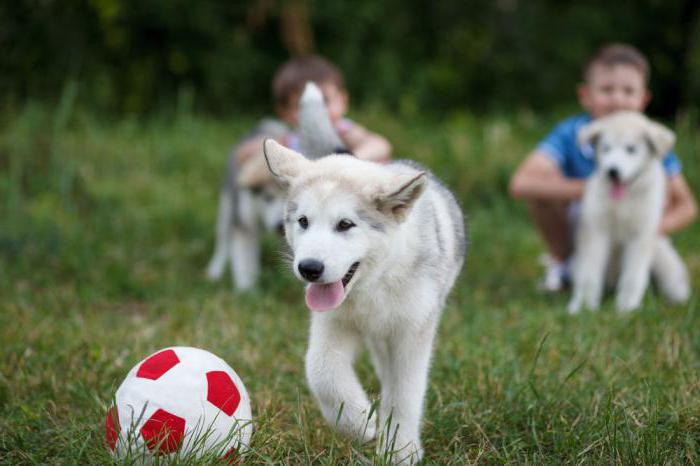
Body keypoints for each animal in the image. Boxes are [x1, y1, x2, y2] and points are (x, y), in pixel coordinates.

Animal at [262, 136, 464, 462]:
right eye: (303, 221)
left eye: (345, 224)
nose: (309, 268)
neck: (373, 286)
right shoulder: (331, 324)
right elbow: (320, 370)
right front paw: (359, 423)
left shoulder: (412, 332)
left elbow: (405, 392)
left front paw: (400, 450)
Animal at [568, 110, 688, 314]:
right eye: (606, 148)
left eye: (631, 149)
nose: (612, 171)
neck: (623, 202)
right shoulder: (596, 231)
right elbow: (590, 275)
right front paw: (585, 308)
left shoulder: (641, 235)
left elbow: (633, 276)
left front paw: (626, 309)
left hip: (665, 261)